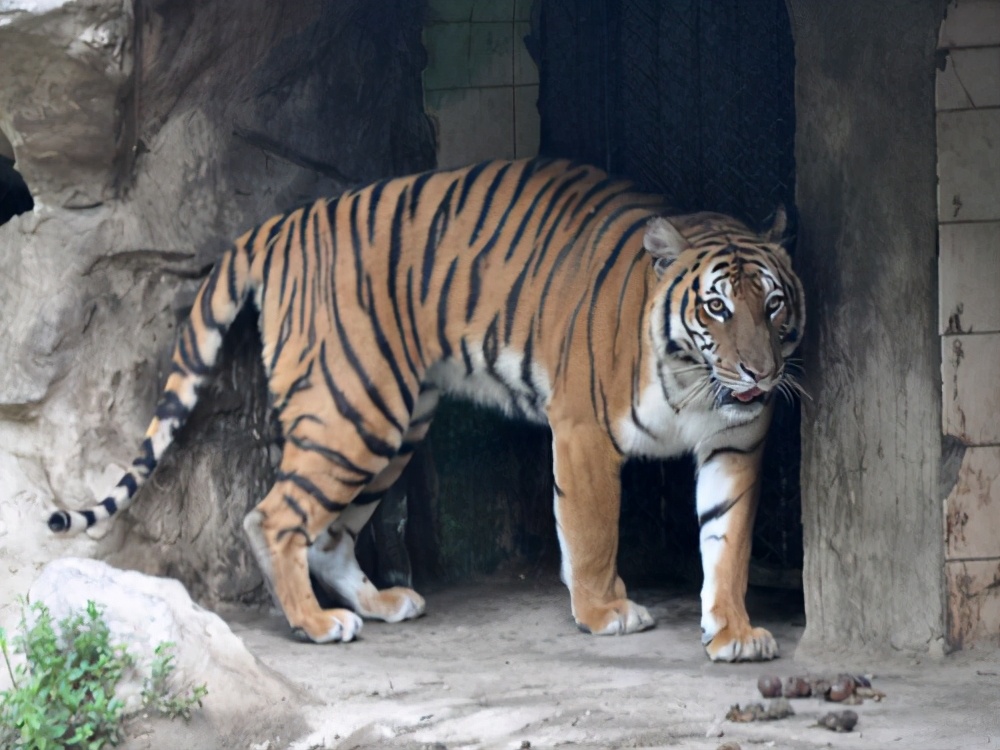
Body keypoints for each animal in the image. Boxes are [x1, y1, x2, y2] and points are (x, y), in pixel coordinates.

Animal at [48, 157, 804, 662]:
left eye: (773, 305)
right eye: (717, 307)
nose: (760, 374)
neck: (697, 376)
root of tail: (279, 225)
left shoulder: (737, 443)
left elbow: (728, 543)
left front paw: (734, 632)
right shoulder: (584, 431)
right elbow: (592, 534)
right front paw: (603, 611)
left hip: (394, 424)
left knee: (329, 533)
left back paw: (379, 604)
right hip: (354, 411)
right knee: (273, 516)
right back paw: (315, 624)